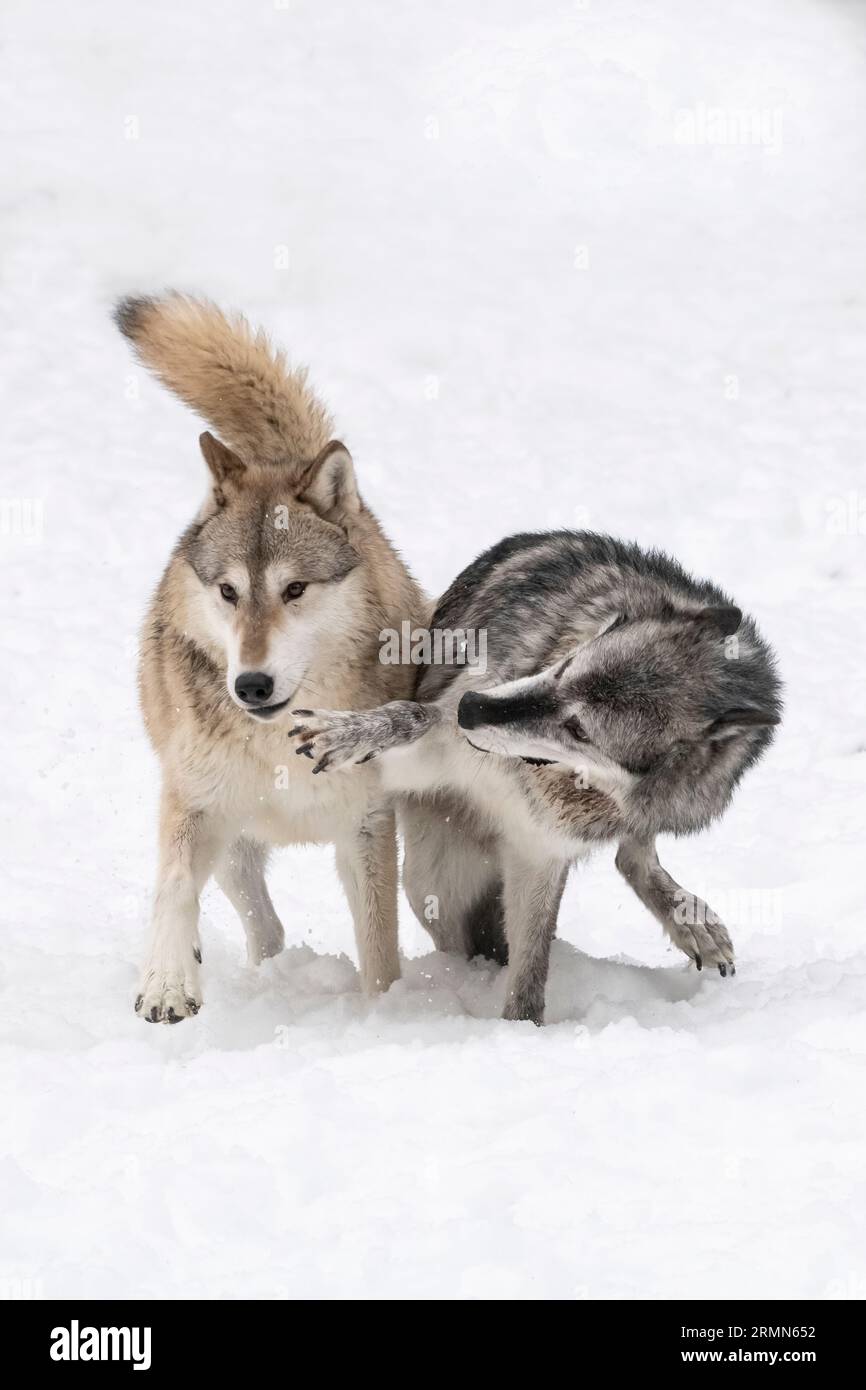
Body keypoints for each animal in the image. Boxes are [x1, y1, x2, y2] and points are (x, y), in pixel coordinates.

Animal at [116, 292, 425, 1021]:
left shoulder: (367, 829)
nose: (251, 686)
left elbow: (380, 951)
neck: (282, 740)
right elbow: (173, 887)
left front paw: (381, 1020)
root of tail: (281, 460)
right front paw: (166, 982)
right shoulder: (192, 804)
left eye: (294, 590)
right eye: (229, 591)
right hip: (232, 842)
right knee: (265, 927)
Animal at [289, 531, 782, 1024]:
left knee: (633, 854)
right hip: (434, 884)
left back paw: (691, 920)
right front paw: (345, 733)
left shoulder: (541, 848)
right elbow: (410, 715)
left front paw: (522, 1030)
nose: (471, 708)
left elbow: (530, 972)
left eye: (578, 729)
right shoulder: (443, 742)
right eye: (567, 666)